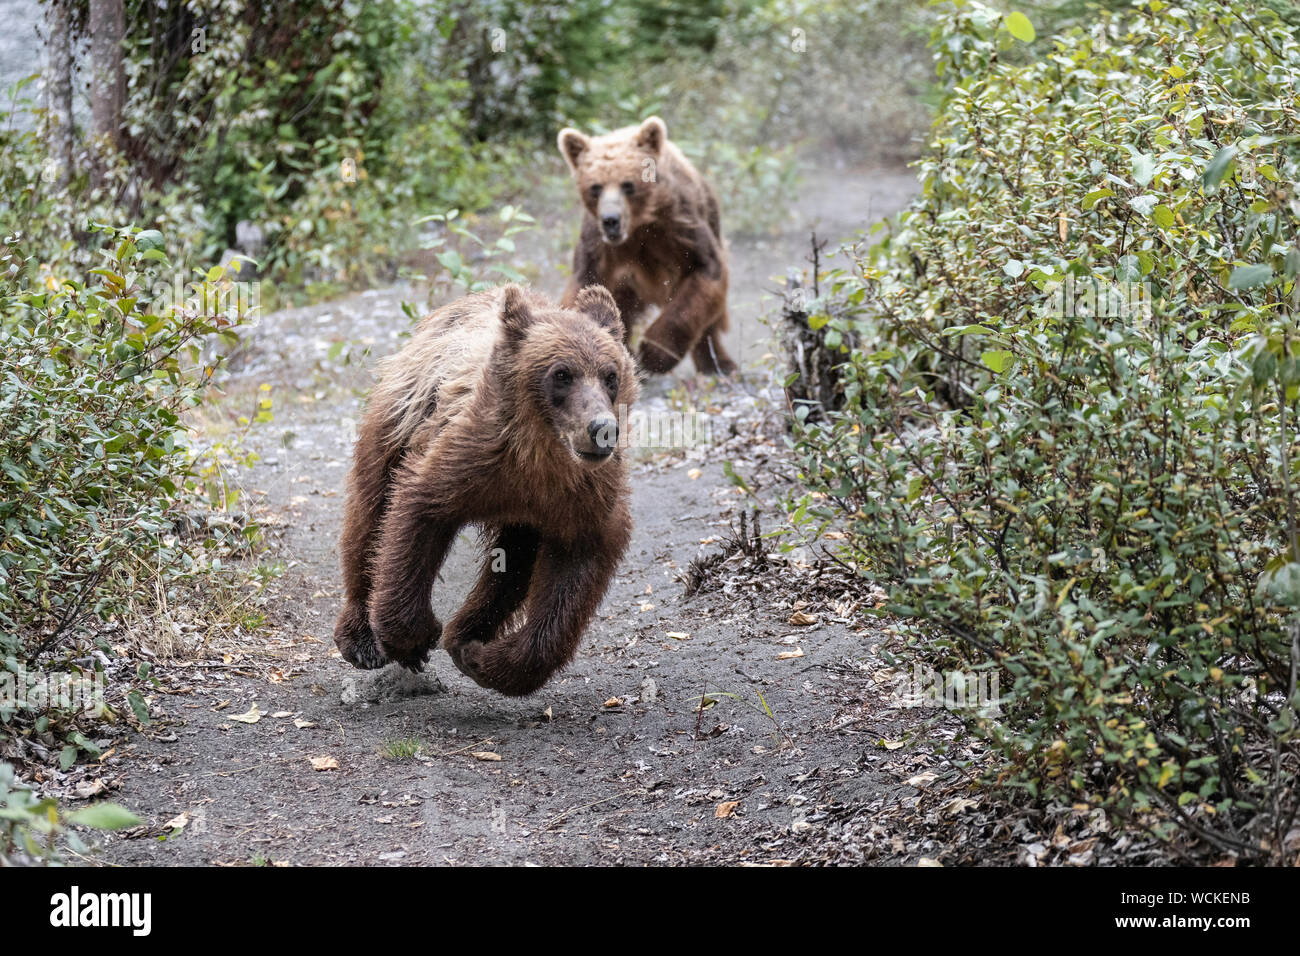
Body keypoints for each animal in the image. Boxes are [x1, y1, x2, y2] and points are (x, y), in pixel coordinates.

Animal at [333, 284, 639, 696]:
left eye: (610, 375)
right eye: (562, 373)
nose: (601, 428)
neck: (537, 460)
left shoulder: (581, 498)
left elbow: (573, 576)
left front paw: (486, 660)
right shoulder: (466, 457)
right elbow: (417, 512)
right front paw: (414, 642)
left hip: (524, 519)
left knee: (512, 565)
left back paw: (466, 636)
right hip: (398, 420)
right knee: (369, 516)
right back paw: (361, 639)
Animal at [557, 116, 737, 376]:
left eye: (628, 185)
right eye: (595, 187)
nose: (610, 220)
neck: (640, 225)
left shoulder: (680, 226)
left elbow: (705, 272)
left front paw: (655, 354)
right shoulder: (597, 243)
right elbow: (586, 283)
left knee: (711, 317)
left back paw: (718, 364)